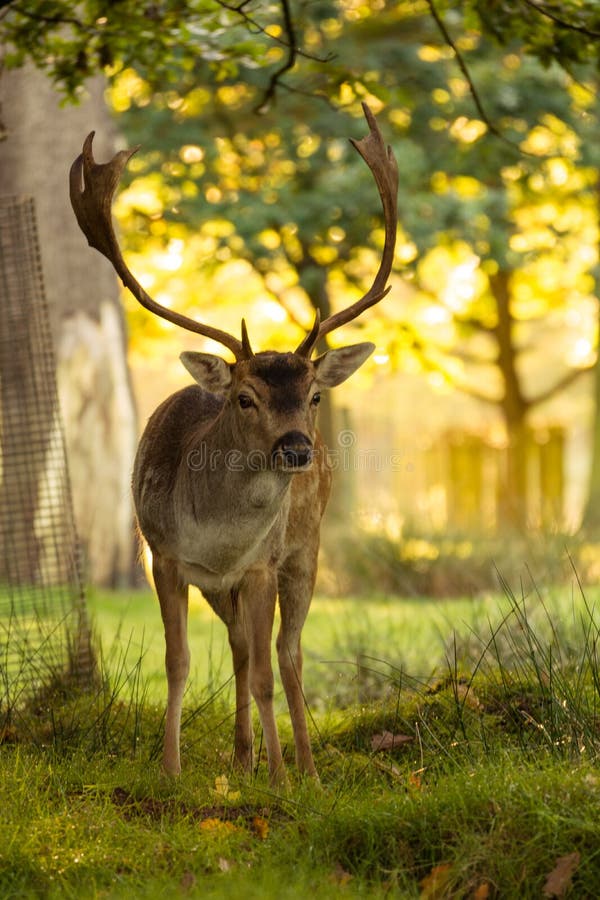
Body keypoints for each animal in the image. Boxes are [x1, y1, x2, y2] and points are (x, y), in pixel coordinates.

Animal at [70, 103, 398, 786]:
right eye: (244, 398)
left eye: (314, 396)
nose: (297, 449)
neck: (216, 539)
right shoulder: (163, 557)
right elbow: (179, 662)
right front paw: (170, 769)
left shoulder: (261, 564)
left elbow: (272, 669)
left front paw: (281, 778)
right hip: (222, 588)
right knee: (242, 648)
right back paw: (244, 756)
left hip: (306, 549)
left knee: (287, 652)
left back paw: (304, 766)